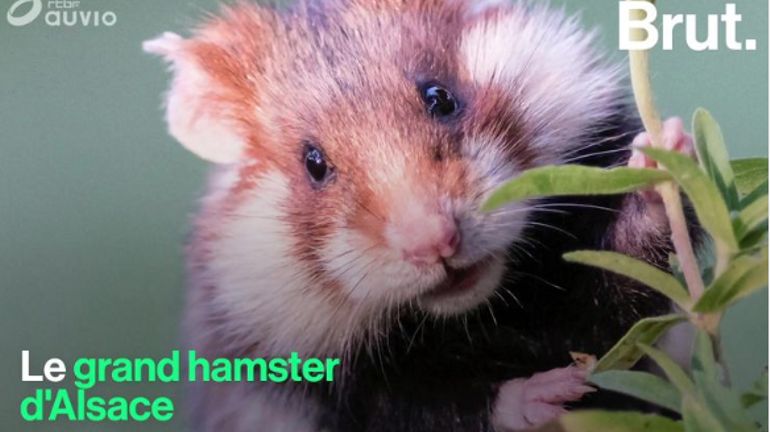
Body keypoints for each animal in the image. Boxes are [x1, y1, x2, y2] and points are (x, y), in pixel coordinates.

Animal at [144, 0, 693, 430]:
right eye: (314, 163)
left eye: (439, 97)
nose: (435, 244)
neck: (480, 313)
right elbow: (437, 406)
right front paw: (554, 392)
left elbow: (620, 296)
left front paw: (665, 152)